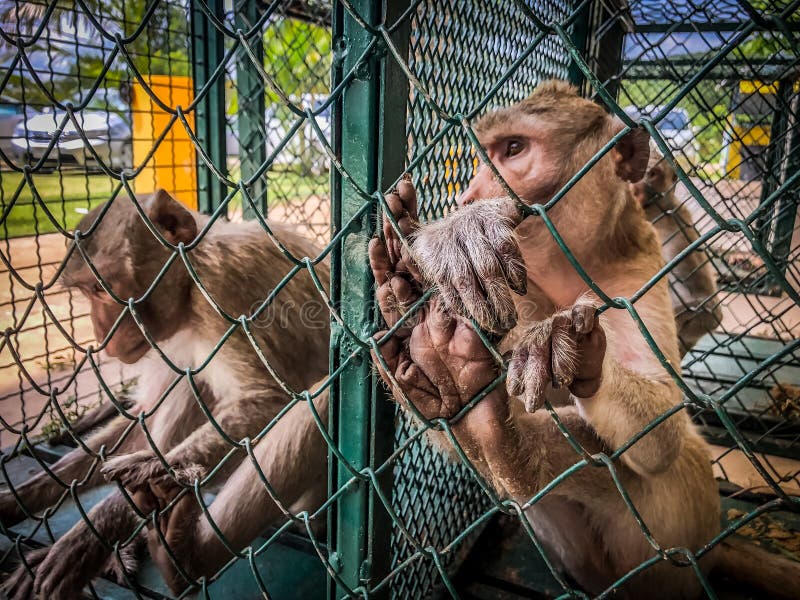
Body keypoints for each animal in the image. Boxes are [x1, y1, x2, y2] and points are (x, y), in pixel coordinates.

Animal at [1, 189, 330, 598]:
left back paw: (186, 560)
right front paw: (17, 500)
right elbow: (146, 416)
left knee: (318, 402)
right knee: (191, 385)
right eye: (85, 292)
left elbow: (270, 400)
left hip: (313, 503)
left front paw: (96, 529)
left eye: (102, 290)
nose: (100, 332)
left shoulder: (224, 293)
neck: (189, 288)